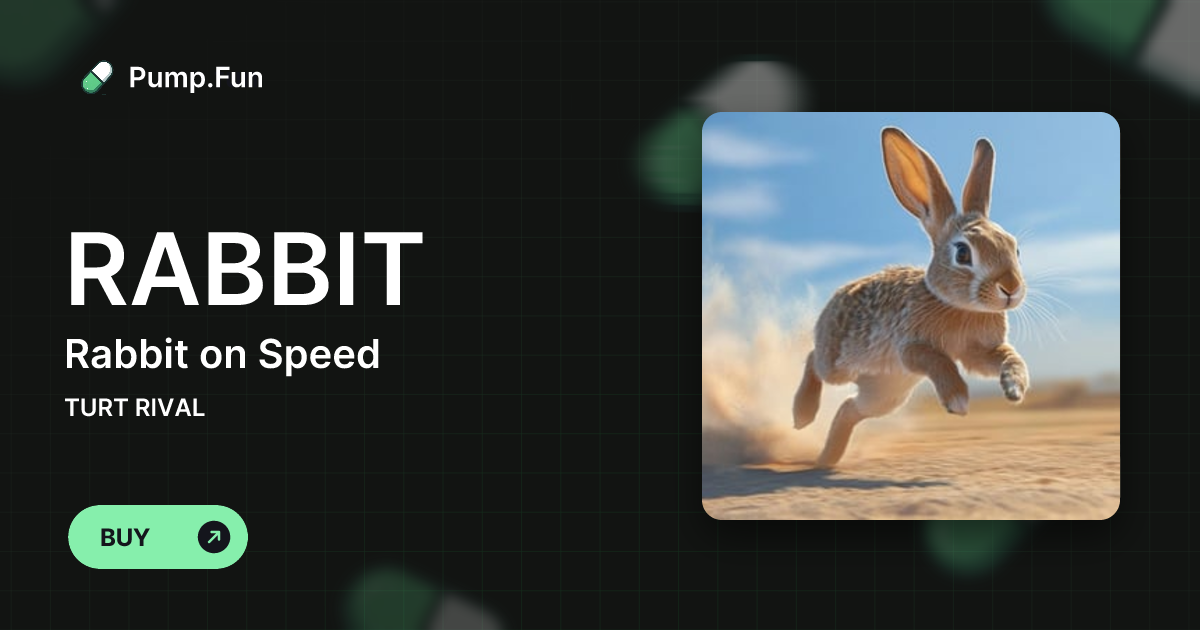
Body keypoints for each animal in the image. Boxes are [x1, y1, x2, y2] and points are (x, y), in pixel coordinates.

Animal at [792, 127, 1030, 469]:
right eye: (962, 253)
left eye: (1015, 249)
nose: (1010, 288)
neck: (957, 306)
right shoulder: (910, 345)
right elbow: (937, 359)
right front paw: (958, 400)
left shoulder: (977, 351)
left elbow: (1006, 357)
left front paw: (1015, 388)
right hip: (841, 365)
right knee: (814, 360)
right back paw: (802, 415)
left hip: (885, 393)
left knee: (850, 408)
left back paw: (827, 459)